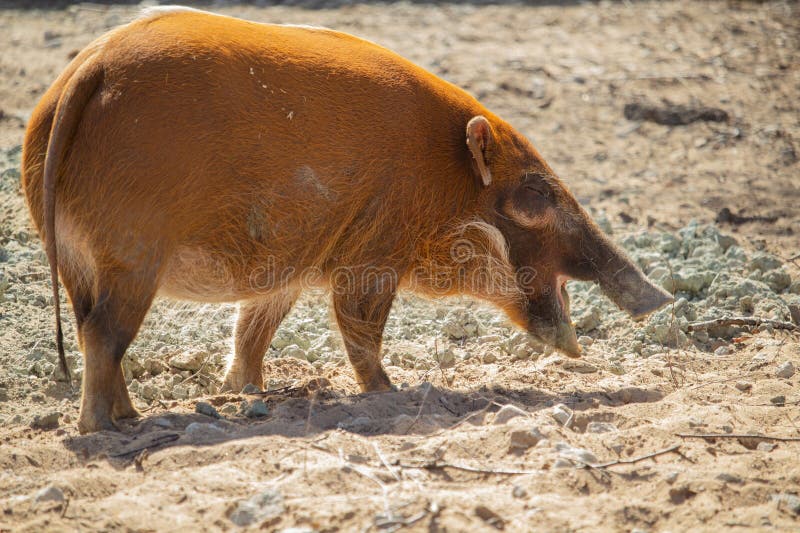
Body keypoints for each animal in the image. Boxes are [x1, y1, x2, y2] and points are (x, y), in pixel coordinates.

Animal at [21, 7, 672, 433]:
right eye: (536, 193)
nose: (661, 298)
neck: (440, 181)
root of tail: (84, 71)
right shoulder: (372, 256)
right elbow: (360, 329)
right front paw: (393, 392)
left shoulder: (290, 268)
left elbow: (252, 329)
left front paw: (246, 391)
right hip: (133, 254)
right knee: (103, 333)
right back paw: (107, 429)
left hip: (77, 257)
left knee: (89, 328)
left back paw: (129, 416)